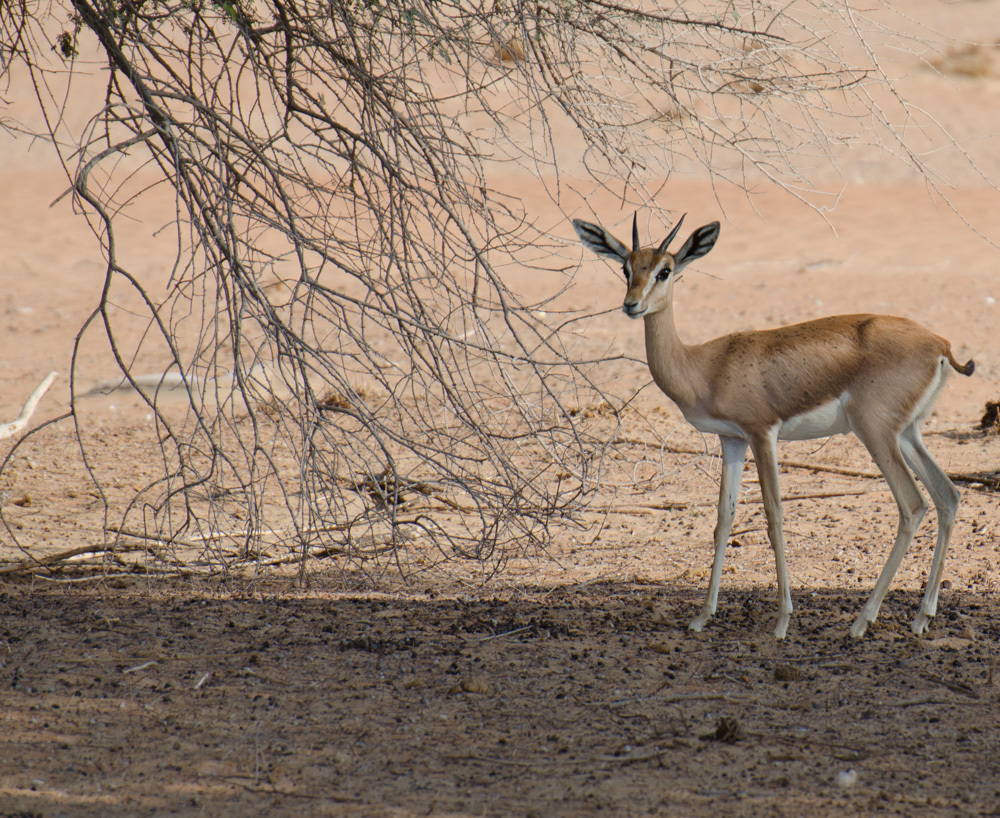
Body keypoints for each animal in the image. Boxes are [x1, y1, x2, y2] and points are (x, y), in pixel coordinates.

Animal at [573, 213, 974, 639]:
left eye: (664, 271)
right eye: (626, 268)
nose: (631, 305)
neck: (704, 368)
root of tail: (940, 344)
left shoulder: (762, 433)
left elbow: (774, 515)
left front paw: (782, 620)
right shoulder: (731, 439)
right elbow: (724, 518)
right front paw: (702, 615)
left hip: (876, 432)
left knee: (913, 505)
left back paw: (861, 621)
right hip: (908, 434)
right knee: (948, 495)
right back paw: (921, 617)